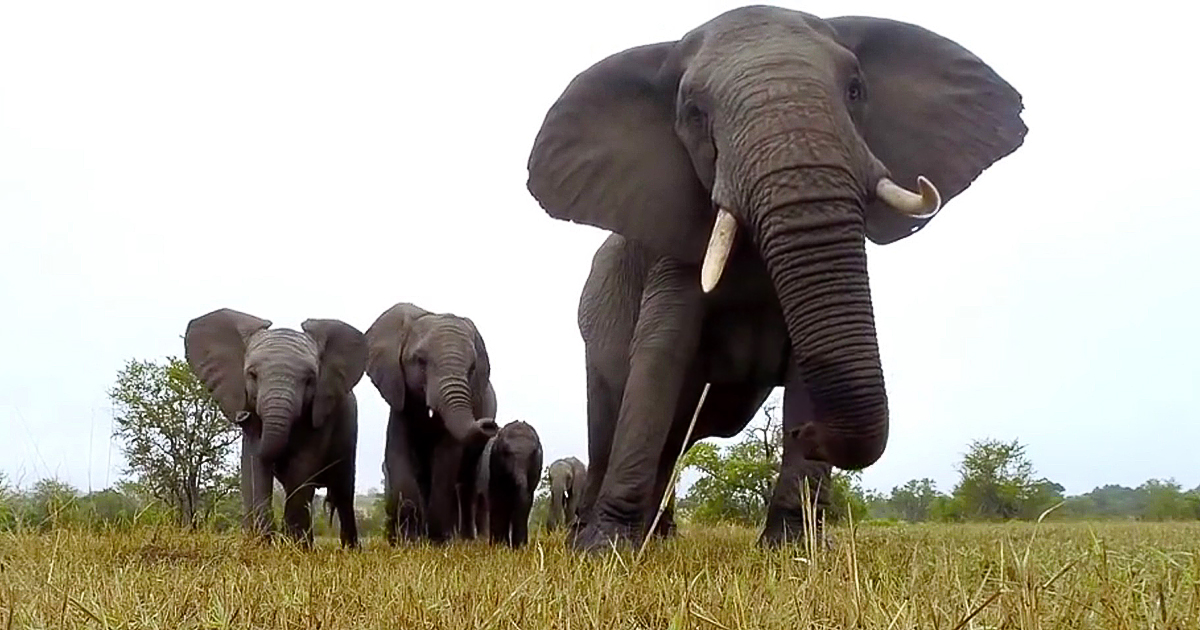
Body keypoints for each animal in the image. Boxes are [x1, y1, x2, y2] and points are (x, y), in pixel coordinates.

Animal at [183, 308, 367, 549]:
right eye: (252, 375)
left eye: (310, 380)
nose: (243, 415)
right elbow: (254, 464)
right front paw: (261, 543)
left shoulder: (321, 413)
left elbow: (302, 465)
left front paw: (292, 546)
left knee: (343, 491)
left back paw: (350, 549)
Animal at [363, 302, 500, 544]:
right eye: (420, 360)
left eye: (472, 368)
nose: (488, 424)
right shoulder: (400, 400)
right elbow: (398, 455)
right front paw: (410, 541)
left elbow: (446, 459)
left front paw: (438, 540)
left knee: (467, 485)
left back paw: (466, 539)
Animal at [524, 5, 1026, 552]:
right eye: (694, 113)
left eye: (855, 89)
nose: (809, 433)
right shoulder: (670, 247)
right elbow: (659, 357)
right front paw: (605, 552)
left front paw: (796, 549)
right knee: (612, 419)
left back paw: (660, 538)